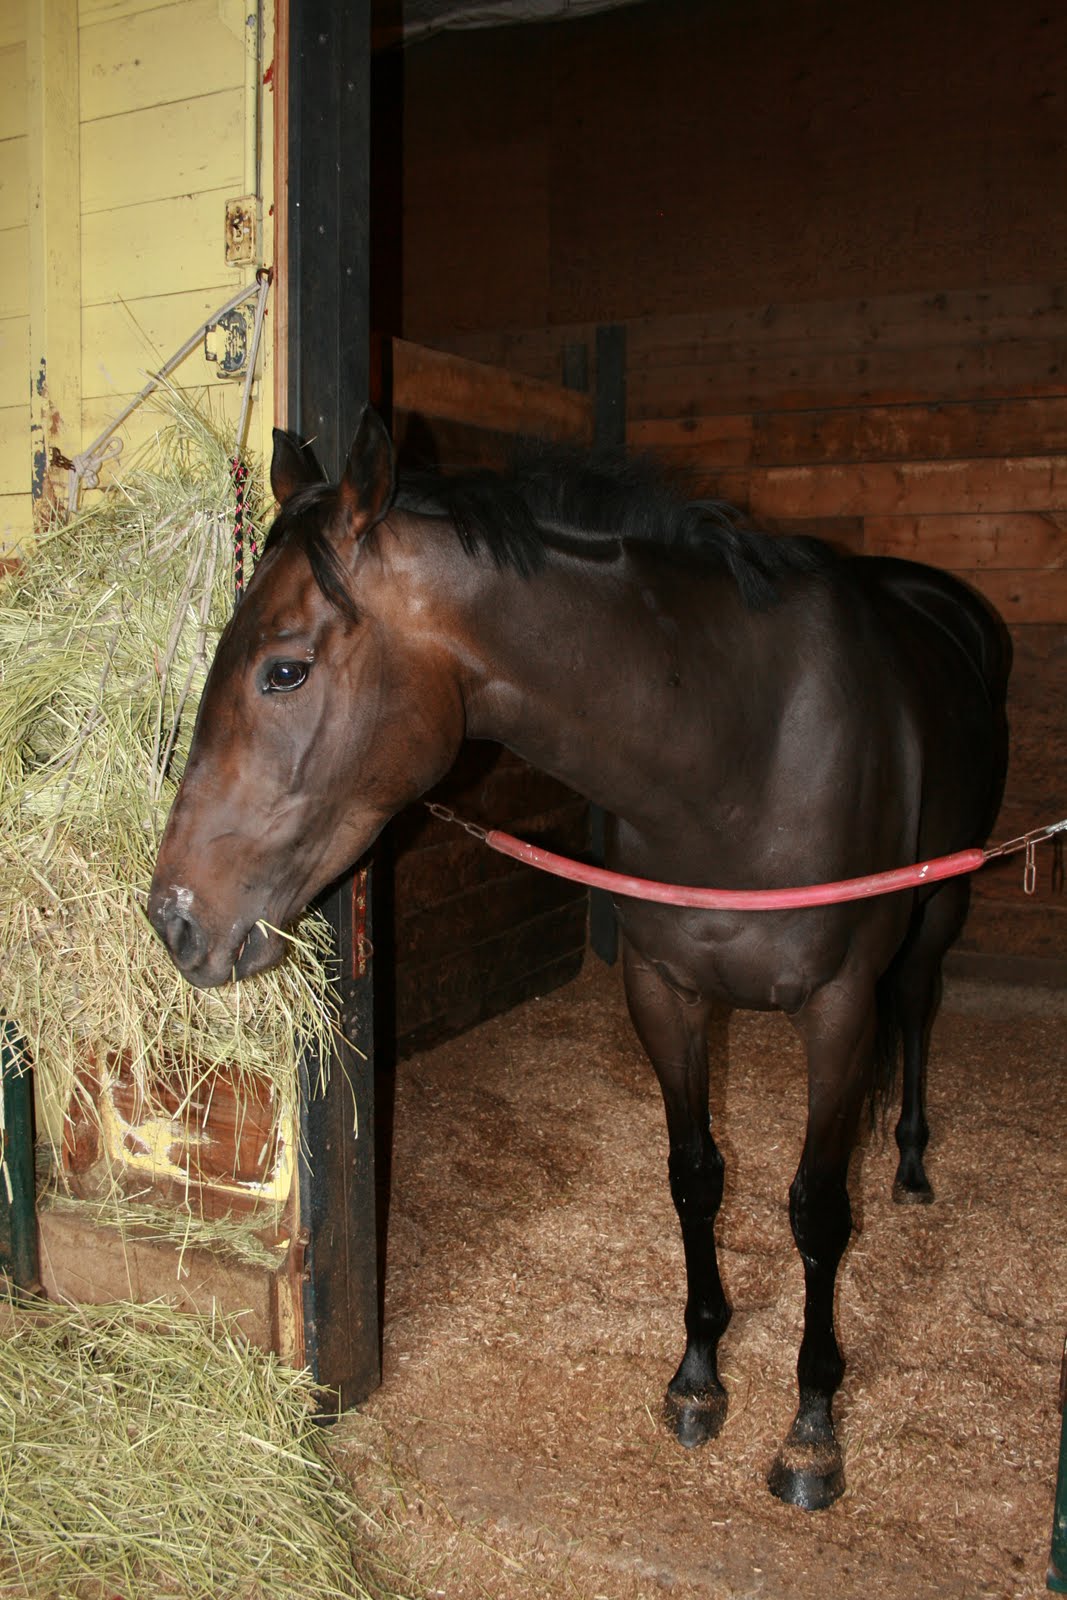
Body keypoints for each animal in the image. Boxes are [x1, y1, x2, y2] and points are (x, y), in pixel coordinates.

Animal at [149, 406, 1011, 1510]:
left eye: (285, 669)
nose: (174, 917)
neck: (741, 748)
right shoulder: (663, 991)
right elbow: (694, 1178)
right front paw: (696, 1377)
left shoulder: (836, 1007)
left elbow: (817, 1212)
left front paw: (811, 1429)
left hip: (938, 907)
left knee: (918, 1006)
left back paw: (906, 1157)